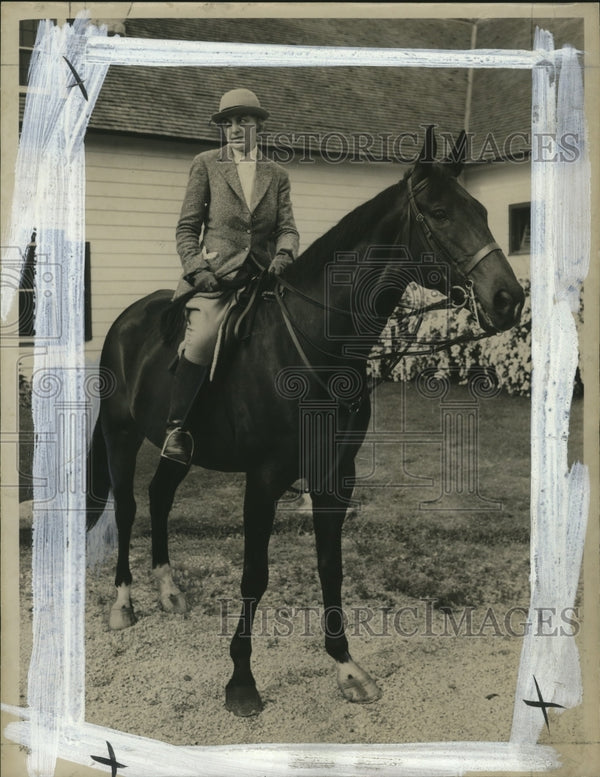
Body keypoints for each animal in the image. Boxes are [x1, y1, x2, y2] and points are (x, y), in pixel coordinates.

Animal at [86, 128, 524, 717]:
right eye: (439, 212)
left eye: (480, 209)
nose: (509, 298)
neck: (316, 341)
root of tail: (127, 319)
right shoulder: (265, 478)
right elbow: (255, 573)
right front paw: (241, 681)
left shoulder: (336, 474)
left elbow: (330, 564)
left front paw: (346, 666)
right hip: (121, 434)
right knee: (129, 506)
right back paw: (124, 603)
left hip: (181, 446)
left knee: (159, 495)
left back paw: (169, 590)